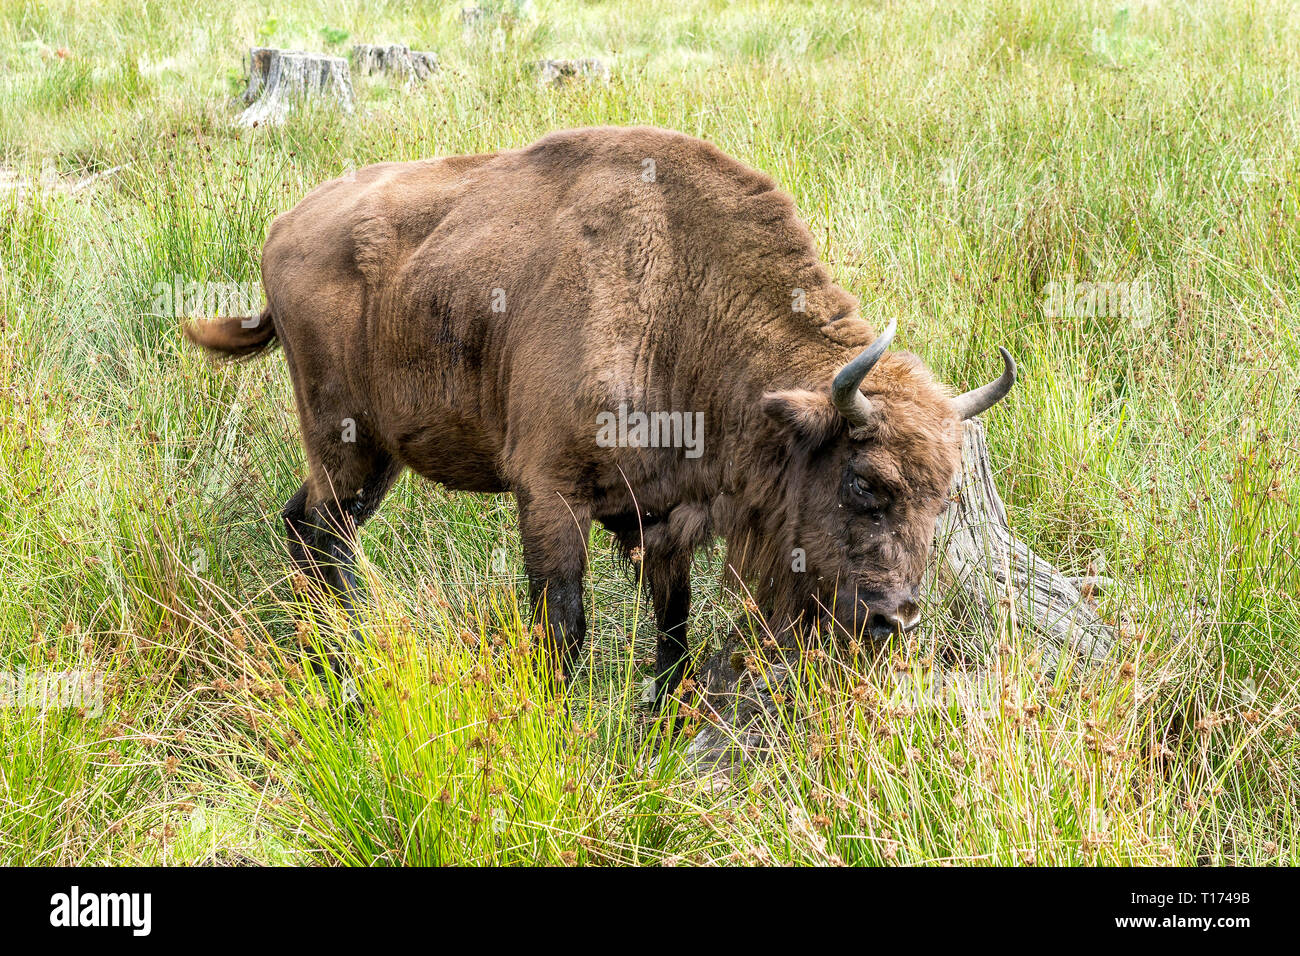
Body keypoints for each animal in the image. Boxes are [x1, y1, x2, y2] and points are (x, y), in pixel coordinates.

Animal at [185, 125, 1013, 700]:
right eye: (863, 482)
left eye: (947, 499)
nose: (895, 621)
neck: (682, 297)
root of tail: (285, 227)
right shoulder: (550, 493)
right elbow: (565, 628)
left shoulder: (663, 517)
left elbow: (674, 627)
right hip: (345, 441)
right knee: (322, 530)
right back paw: (348, 656)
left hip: (378, 453)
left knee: (312, 529)